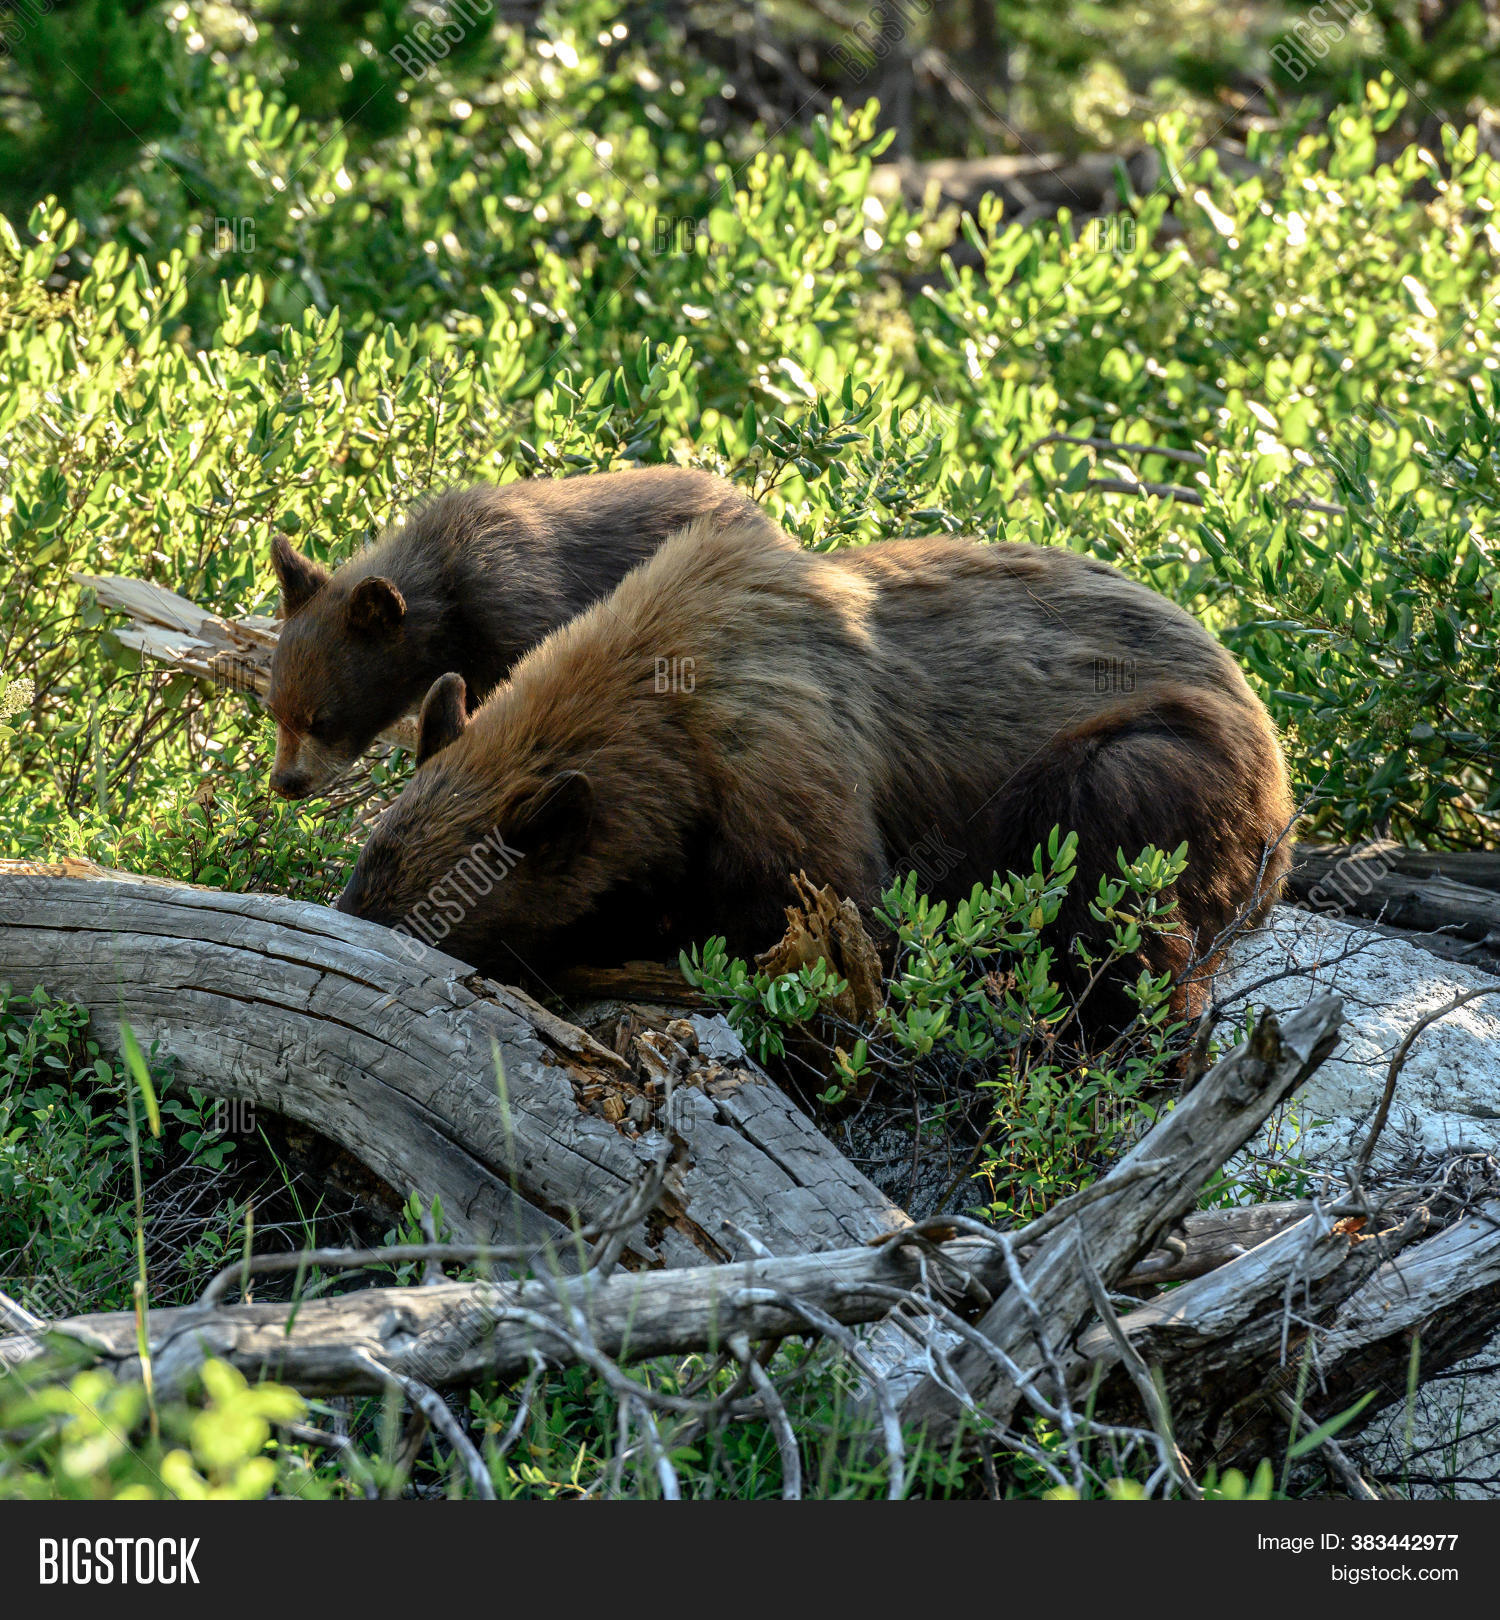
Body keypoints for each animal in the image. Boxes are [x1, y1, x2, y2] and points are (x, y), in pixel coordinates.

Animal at [336, 514, 1294, 1031]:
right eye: (360, 885)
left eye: (422, 931)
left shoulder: (781, 763)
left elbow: (830, 906)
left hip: (1162, 765)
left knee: (1122, 895)